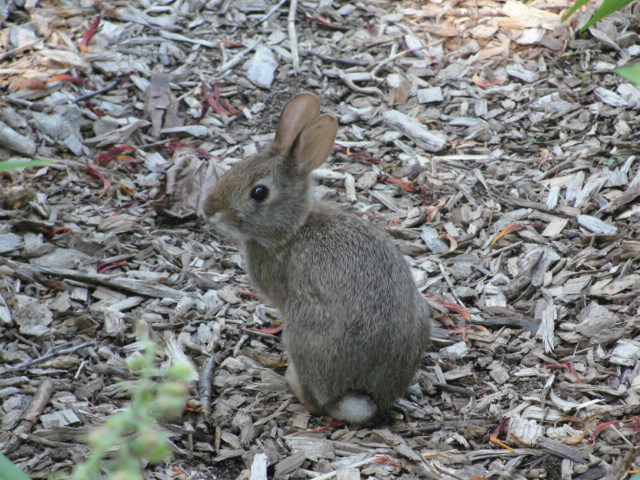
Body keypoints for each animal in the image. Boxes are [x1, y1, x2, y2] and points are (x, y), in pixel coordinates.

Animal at [203, 93, 430, 425]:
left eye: (258, 193)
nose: (208, 210)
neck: (293, 228)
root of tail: (362, 398)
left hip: (303, 328)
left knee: (316, 402)